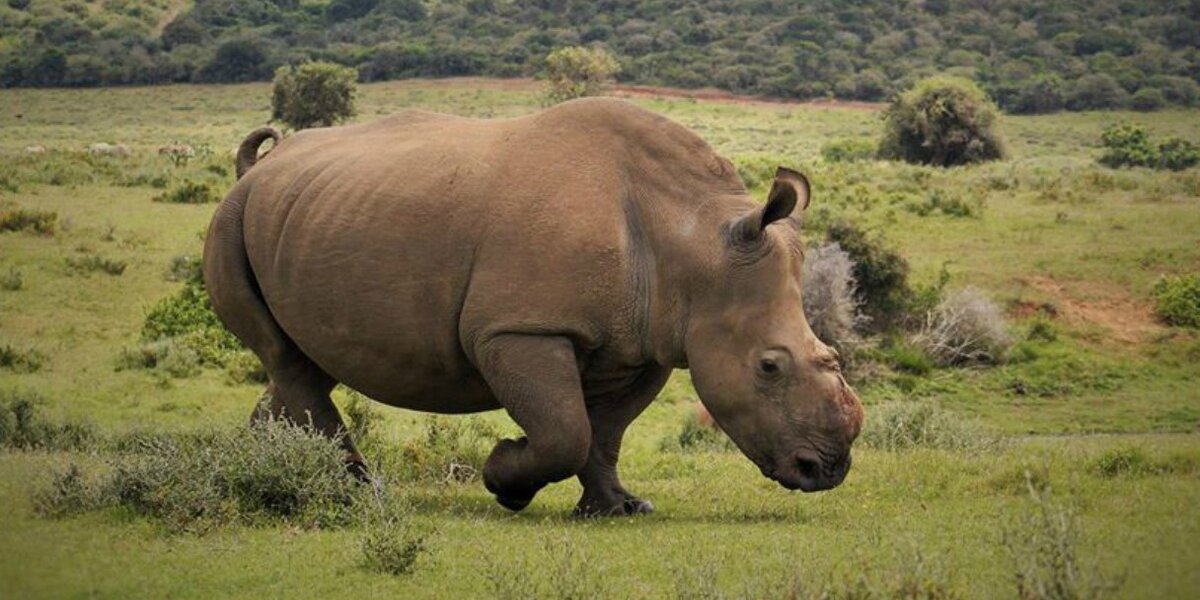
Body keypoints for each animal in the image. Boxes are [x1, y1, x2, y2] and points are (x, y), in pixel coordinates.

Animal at [204, 98, 863, 517]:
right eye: (769, 367)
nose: (826, 471)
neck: (692, 238)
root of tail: (260, 167)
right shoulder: (520, 329)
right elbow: (566, 429)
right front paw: (505, 480)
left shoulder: (648, 342)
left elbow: (606, 432)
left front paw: (620, 509)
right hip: (231, 220)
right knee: (288, 359)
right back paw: (358, 493)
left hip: (305, 213)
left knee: (301, 365)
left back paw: (268, 472)